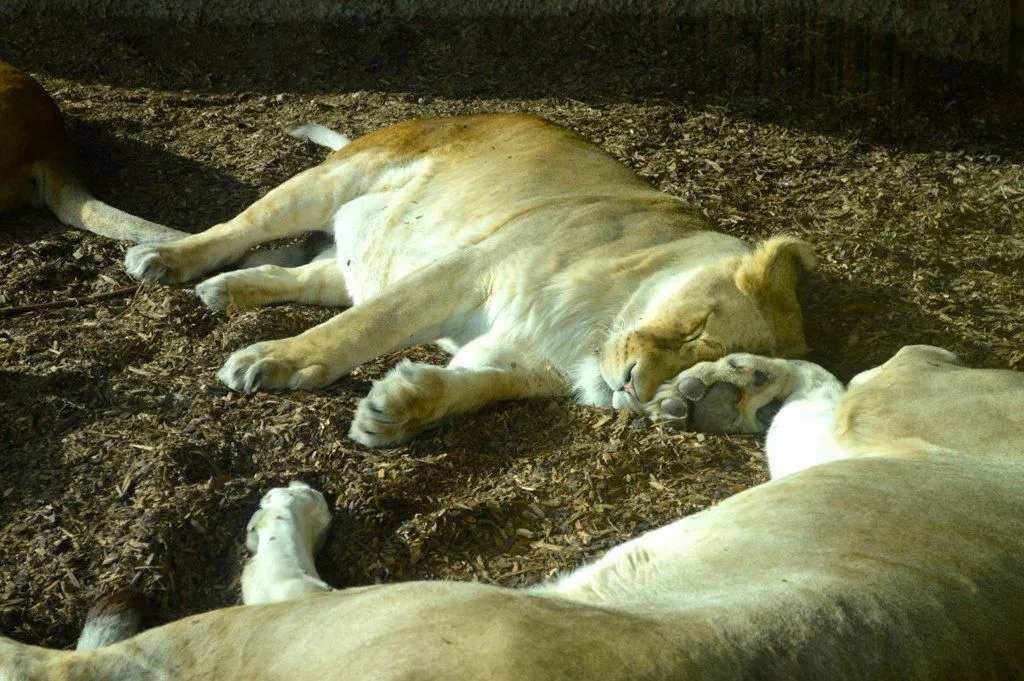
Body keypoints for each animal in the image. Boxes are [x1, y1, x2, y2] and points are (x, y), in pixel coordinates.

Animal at [128, 115, 811, 446]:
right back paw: (164, 259)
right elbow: (363, 328)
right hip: (332, 181)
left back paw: (227, 291)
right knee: (239, 228)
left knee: (310, 274)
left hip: (367, 254)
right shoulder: (470, 266)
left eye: (708, 359)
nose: (634, 389)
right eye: (696, 329)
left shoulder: (521, 358)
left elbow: (475, 388)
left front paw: (395, 412)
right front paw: (275, 359)